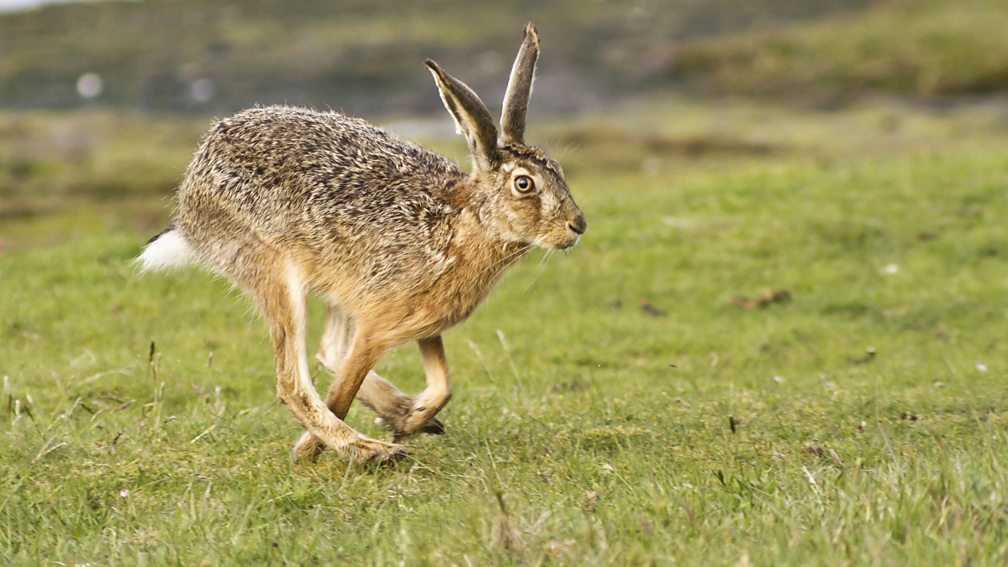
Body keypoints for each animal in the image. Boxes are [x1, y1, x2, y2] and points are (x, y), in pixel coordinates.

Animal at [137, 23, 586, 465]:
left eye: (559, 171)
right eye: (524, 184)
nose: (578, 225)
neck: (465, 223)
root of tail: (192, 191)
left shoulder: (420, 324)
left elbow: (443, 384)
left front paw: (413, 417)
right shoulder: (377, 326)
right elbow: (342, 391)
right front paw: (309, 450)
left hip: (334, 282)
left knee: (327, 352)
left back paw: (400, 414)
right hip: (273, 270)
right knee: (292, 380)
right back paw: (368, 449)